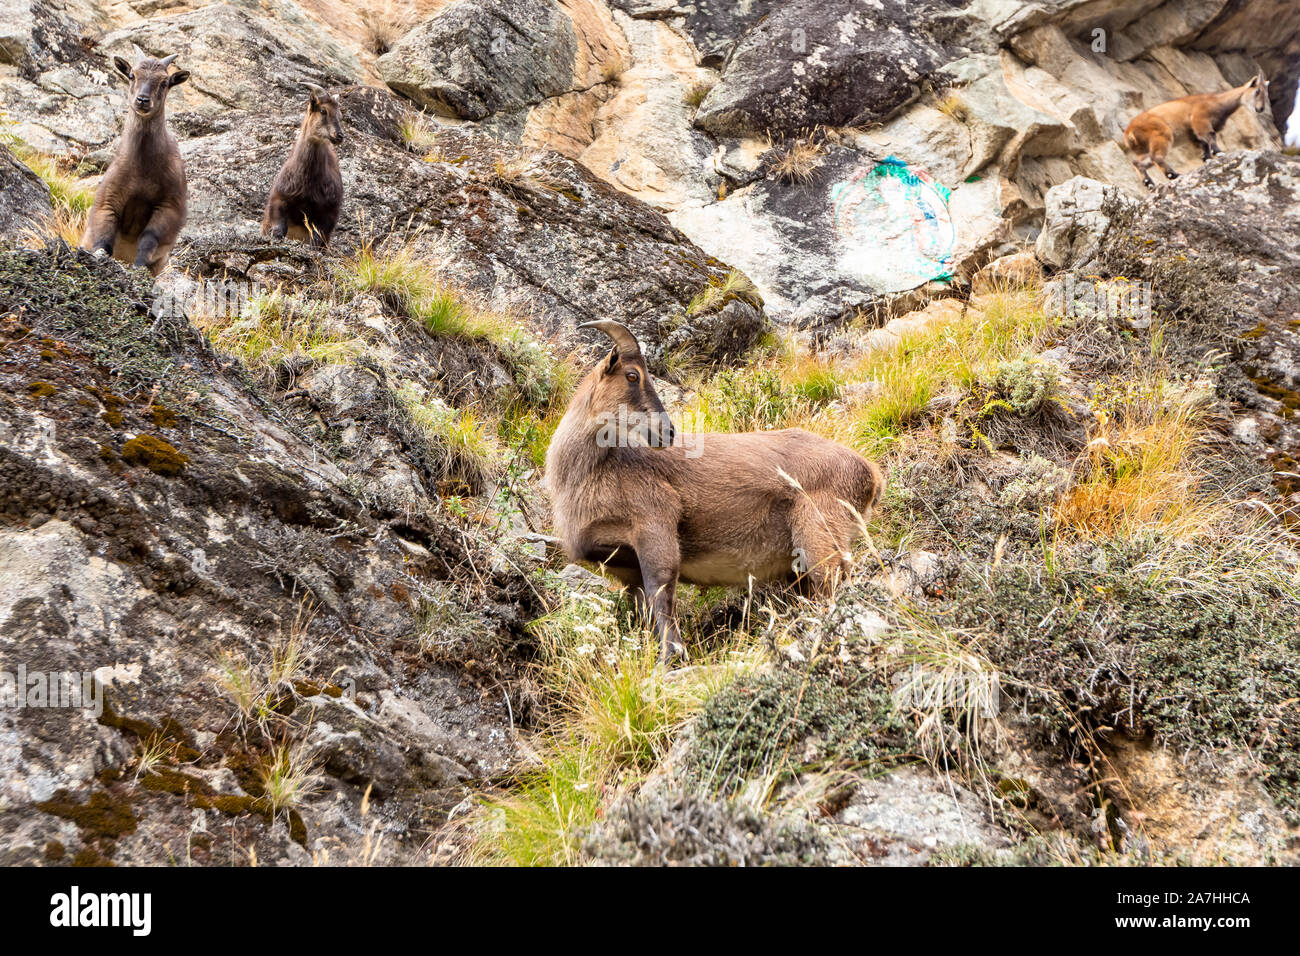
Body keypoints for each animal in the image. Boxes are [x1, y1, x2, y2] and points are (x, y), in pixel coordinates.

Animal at [81, 51, 189, 276]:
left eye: (164, 82)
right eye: (132, 75)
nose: (142, 100)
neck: (142, 169)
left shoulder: (170, 205)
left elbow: (149, 239)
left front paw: (139, 266)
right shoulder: (108, 200)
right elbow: (103, 240)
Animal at [262, 84, 344, 247]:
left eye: (339, 113)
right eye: (323, 110)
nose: (339, 136)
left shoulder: (329, 210)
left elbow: (317, 238)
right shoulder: (280, 199)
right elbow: (279, 229)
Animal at [545, 320, 884, 662]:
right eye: (632, 375)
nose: (668, 432)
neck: (592, 471)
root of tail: (870, 473)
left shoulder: (655, 526)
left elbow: (661, 594)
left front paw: (670, 658)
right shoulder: (624, 566)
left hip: (820, 538)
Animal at [1124, 73, 1269, 188]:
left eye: (1266, 93)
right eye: (1257, 91)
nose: (1260, 109)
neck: (1218, 102)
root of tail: (1129, 132)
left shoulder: (1192, 135)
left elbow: (1204, 145)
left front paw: (1207, 158)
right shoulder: (1200, 120)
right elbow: (1210, 136)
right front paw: (1219, 152)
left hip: (1145, 148)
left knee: (1138, 162)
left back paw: (1149, 183)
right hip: (1161, 135)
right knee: (1156, 157)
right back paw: (1174, 175)